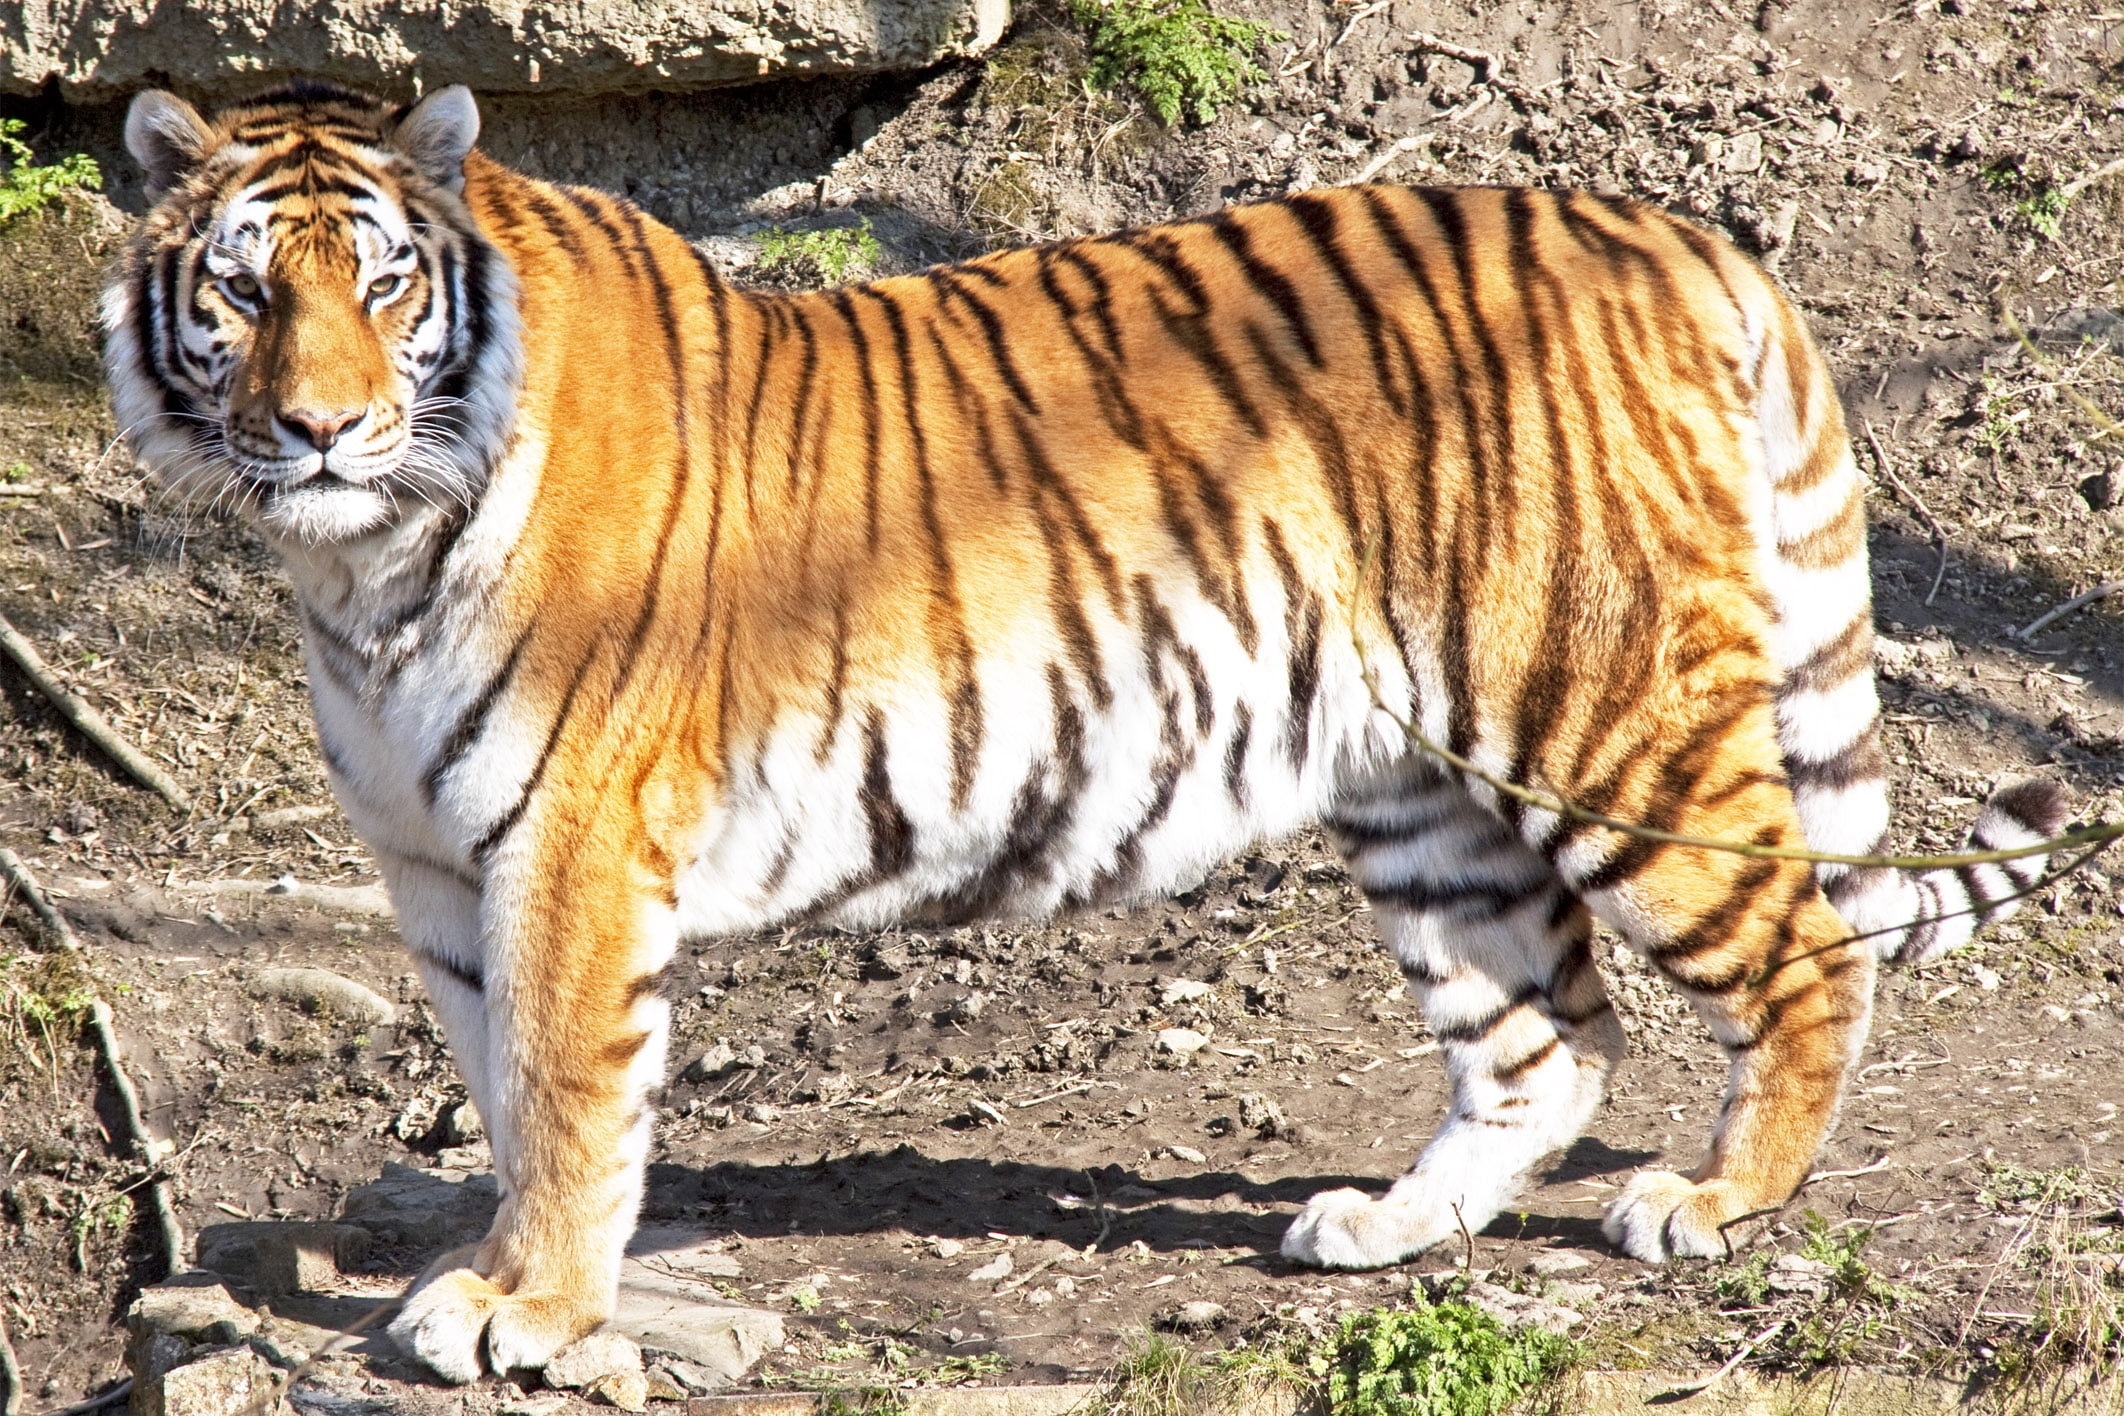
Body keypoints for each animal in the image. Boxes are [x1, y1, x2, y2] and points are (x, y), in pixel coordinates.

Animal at [105, 80, 2066, 1383]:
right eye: (243, 291)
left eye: (378, 286)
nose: (323, 426)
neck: (358, 569)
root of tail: (1667, 231)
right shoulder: (438, 865)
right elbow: (506, 1093)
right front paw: (502, 1276)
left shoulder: (574, 845)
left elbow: (568, 1094)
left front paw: (531, 1310)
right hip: (1422, 789)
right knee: (1547, 1037)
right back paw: (1380, 1226)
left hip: (1601, 705)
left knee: (1805, 949)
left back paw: (1717, 1200)